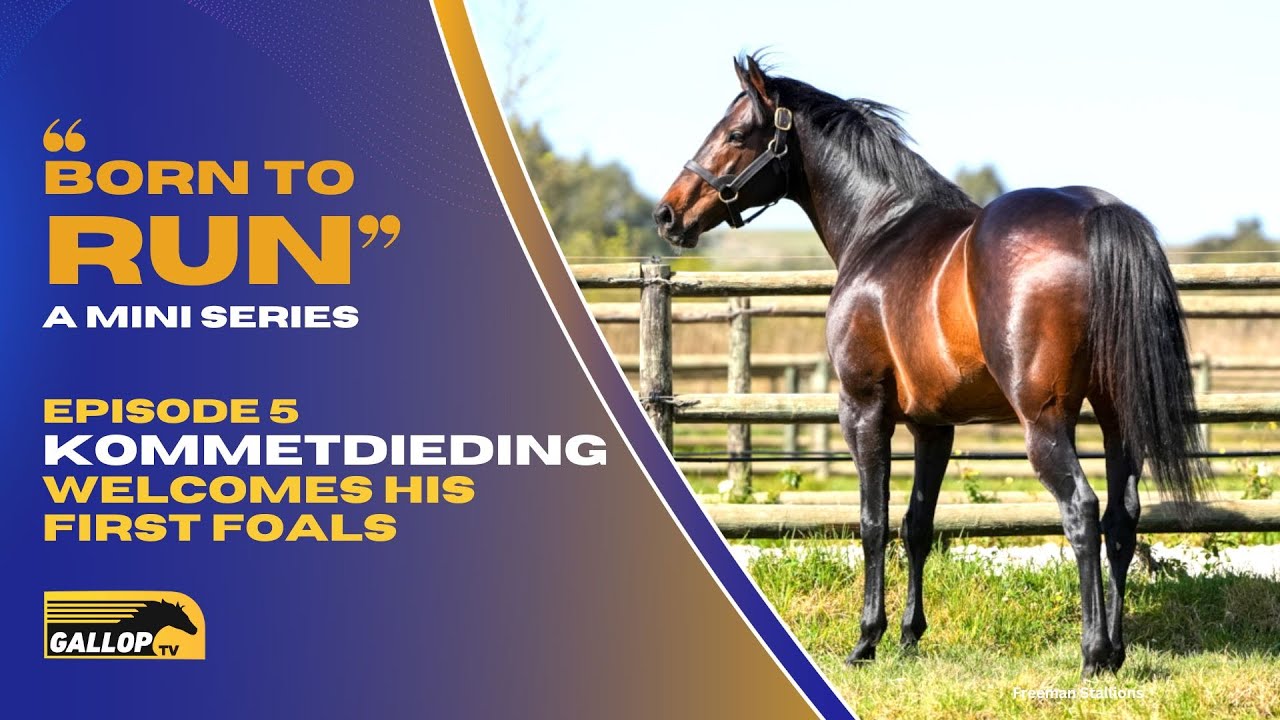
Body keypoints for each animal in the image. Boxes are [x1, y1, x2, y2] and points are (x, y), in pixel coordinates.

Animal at [653, 54, 1208, 677]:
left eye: (734, 134)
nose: (668, 214)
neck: (879, 226)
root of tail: (1097, 214)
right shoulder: (932, 425)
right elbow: (918, 524)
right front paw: (909, 637)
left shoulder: (864, 410)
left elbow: (873, 523)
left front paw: (866, 640)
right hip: (1117, 417)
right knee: (1121, 517)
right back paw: (1114, 651)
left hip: (1044, 422)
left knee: (1082, 511)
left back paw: (1091, 654)